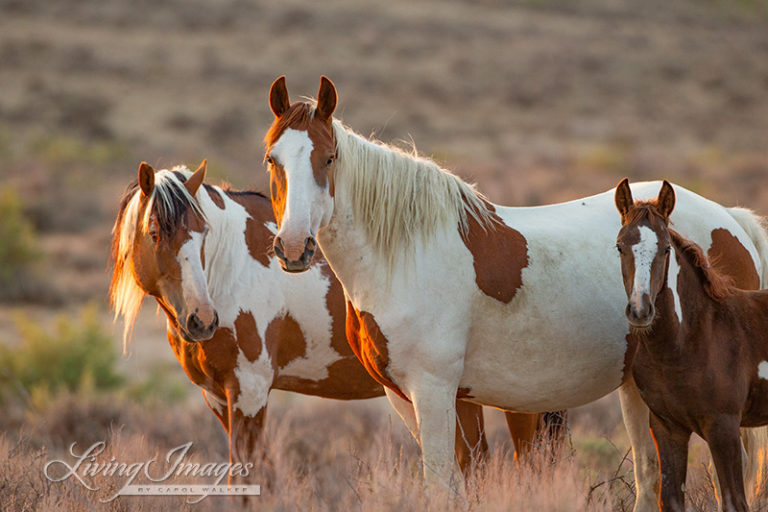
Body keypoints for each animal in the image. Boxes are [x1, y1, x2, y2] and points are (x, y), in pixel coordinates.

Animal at [108, 160, 560, 481]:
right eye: (154, 233)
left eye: (203, 233)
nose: (202, 319)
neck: (233, 268)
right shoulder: (219, 398)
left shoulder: (250, 392)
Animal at [616, 179, 768, 512]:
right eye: (619, 246)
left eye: (665, 248)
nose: (640, 311)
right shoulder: (668, 429)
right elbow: (671, 499)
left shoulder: (723, 428)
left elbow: (734, 501)